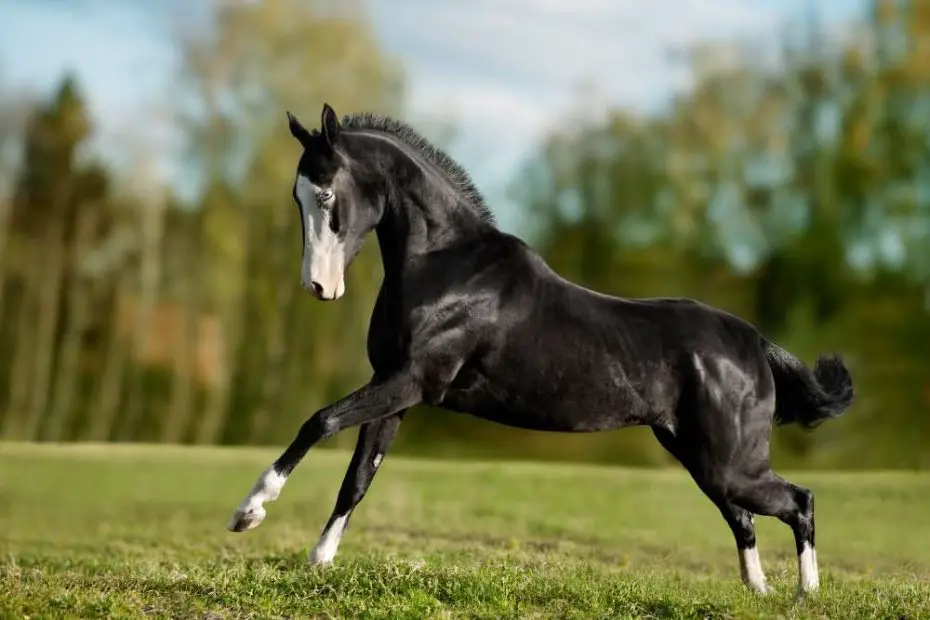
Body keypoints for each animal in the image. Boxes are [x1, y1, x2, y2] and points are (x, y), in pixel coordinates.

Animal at [228, 103, 854, 596]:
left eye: (327, 192)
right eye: (297, 196)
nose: (318, 288)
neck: (445, 265)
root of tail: (755, 343)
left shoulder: (411, 381)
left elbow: (319, 421)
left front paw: (249, 512)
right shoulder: (395, 391)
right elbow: (357, 477)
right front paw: (318, 561)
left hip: (730, 462)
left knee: (799, 501)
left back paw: (806, 594)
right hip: (700, 457)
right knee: (746, 520)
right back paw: (760, 591)